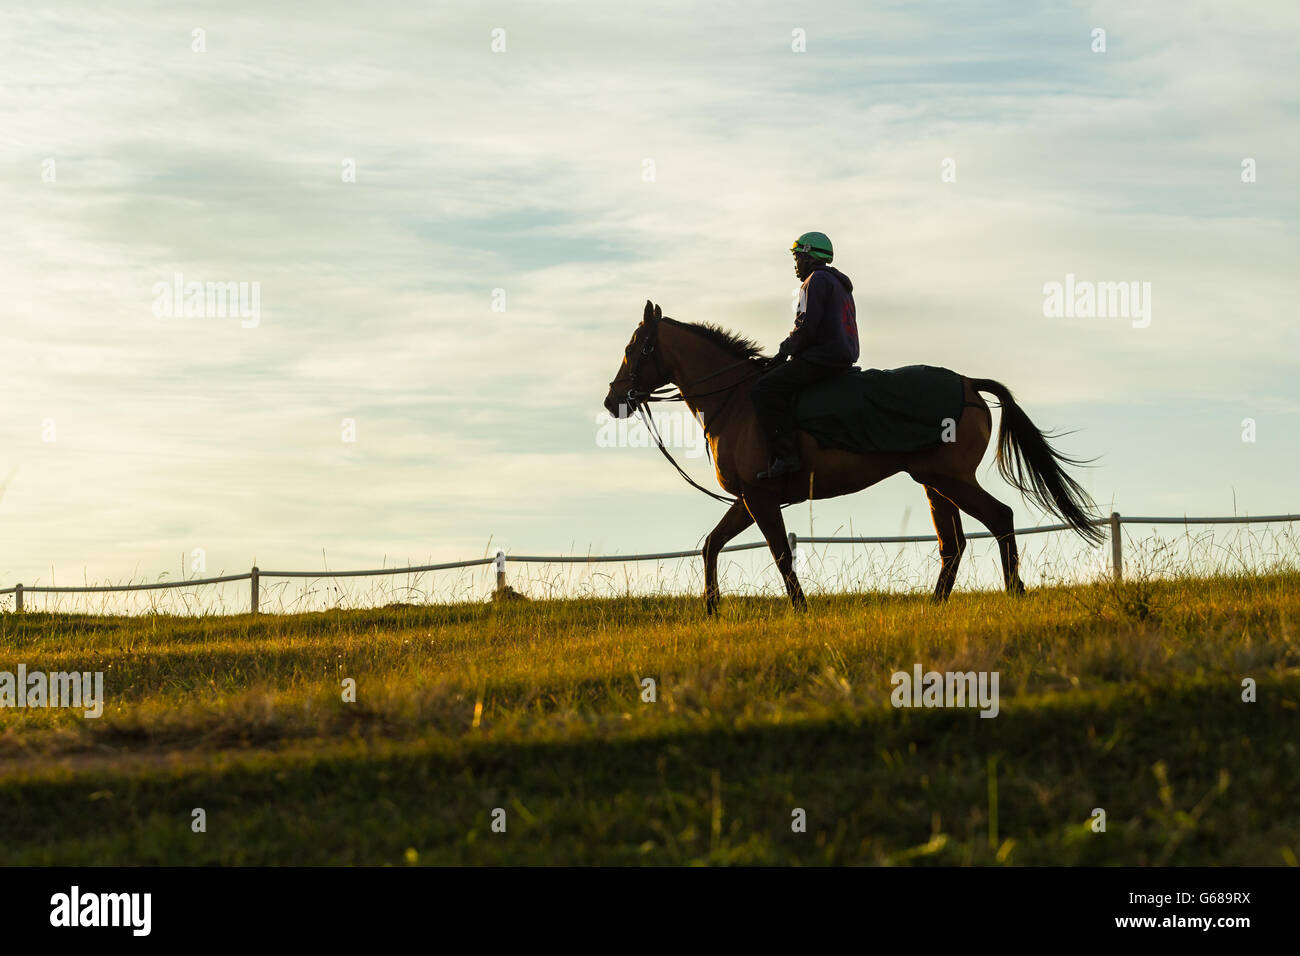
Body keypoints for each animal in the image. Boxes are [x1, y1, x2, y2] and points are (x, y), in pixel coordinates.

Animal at [603, 301, 1103, 614]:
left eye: (634, 349)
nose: (613, 401)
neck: (736, 400)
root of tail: (968, 384)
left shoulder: (760, 498)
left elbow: (780, 554)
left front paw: (800, 609)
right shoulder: (748, 500)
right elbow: (711, 544)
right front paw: (711, 608)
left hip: (954, 480)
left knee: (999, 518)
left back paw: (1014, 593)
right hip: (934, 483)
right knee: (953, 544)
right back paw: (934, 605)